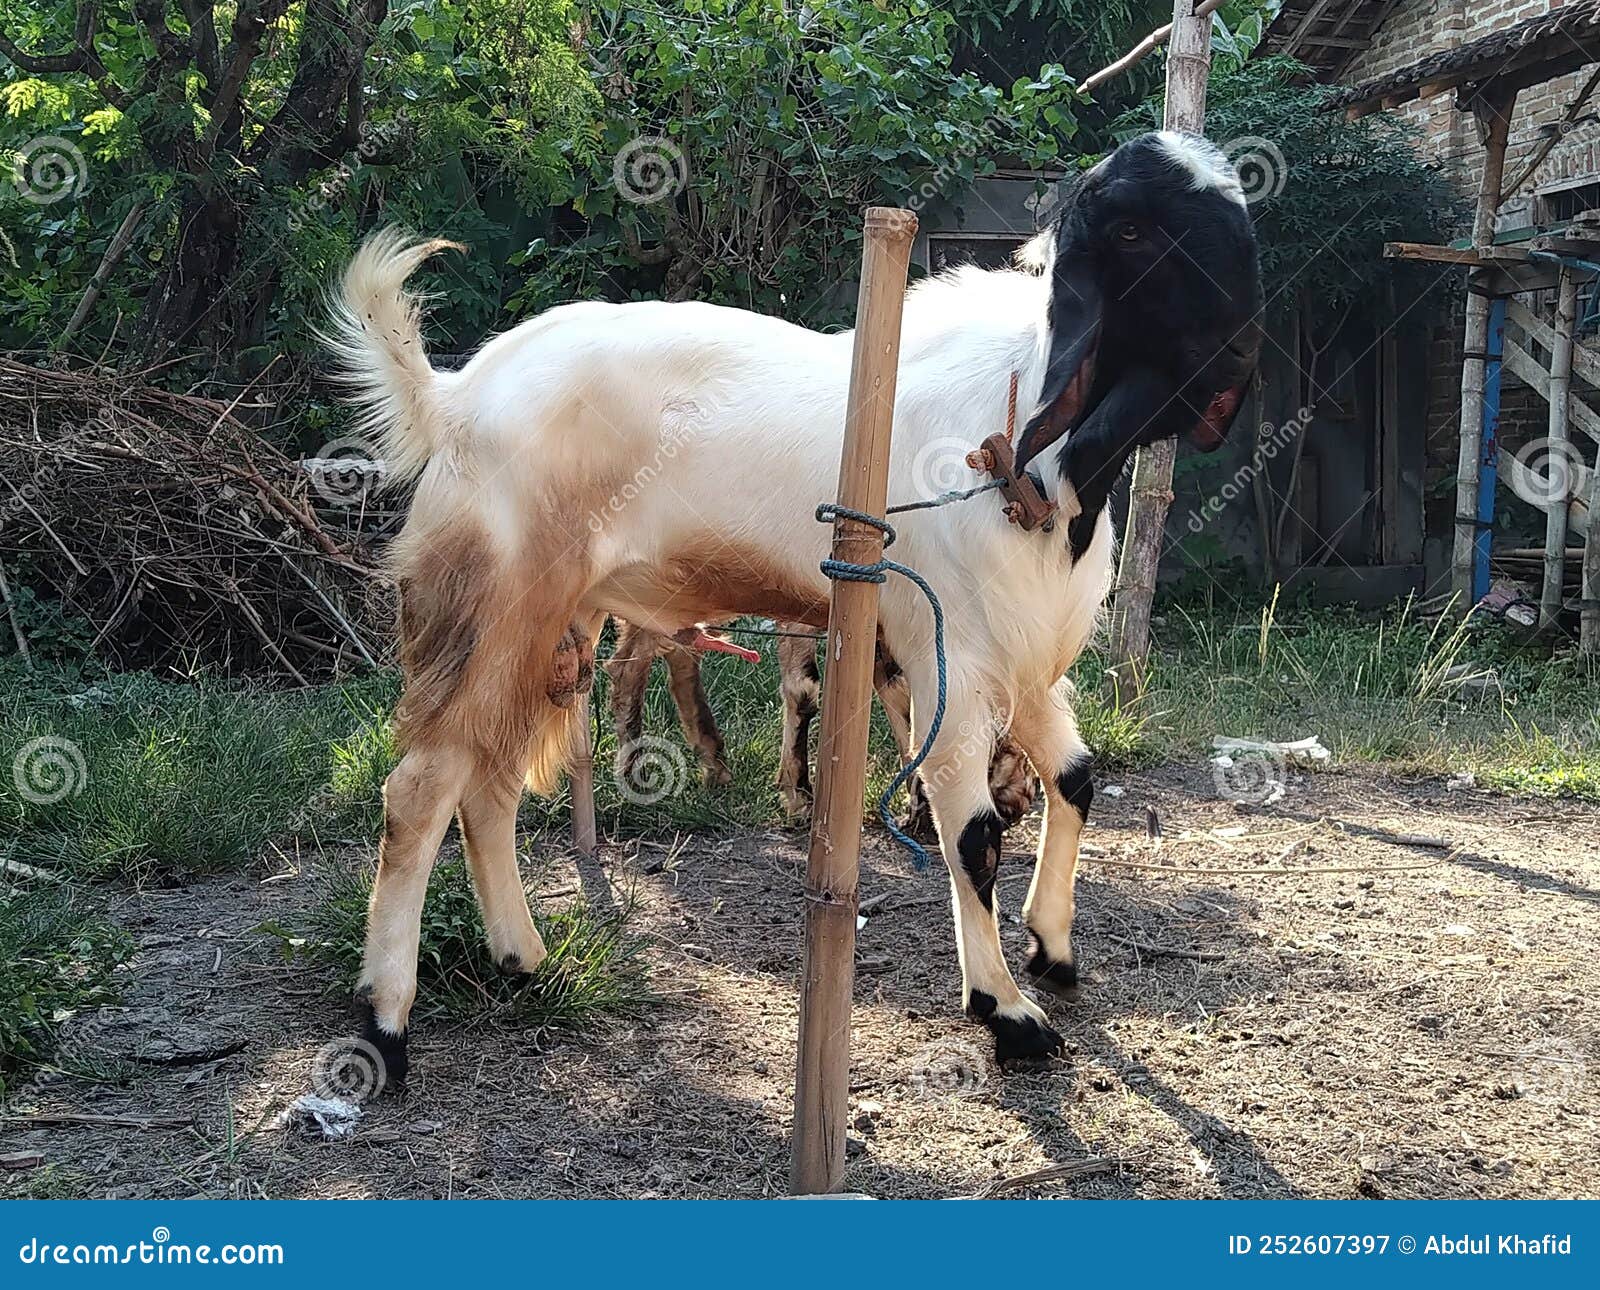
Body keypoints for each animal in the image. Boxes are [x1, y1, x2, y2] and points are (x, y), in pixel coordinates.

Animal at [326, 131, 1261, 1079]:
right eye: (1137, 230)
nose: (1237, 372)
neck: (1029, 444)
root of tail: (452, 400)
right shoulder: (949, 657)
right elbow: (973, 834)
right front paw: (1006, 1011)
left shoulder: (1024, 661)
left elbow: (1075, 779)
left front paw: (1054, 947)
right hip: (494, 613)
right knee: (421, 790)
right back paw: (385, 1020)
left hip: (552, 628)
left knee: (489, 788)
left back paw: (524, 958)